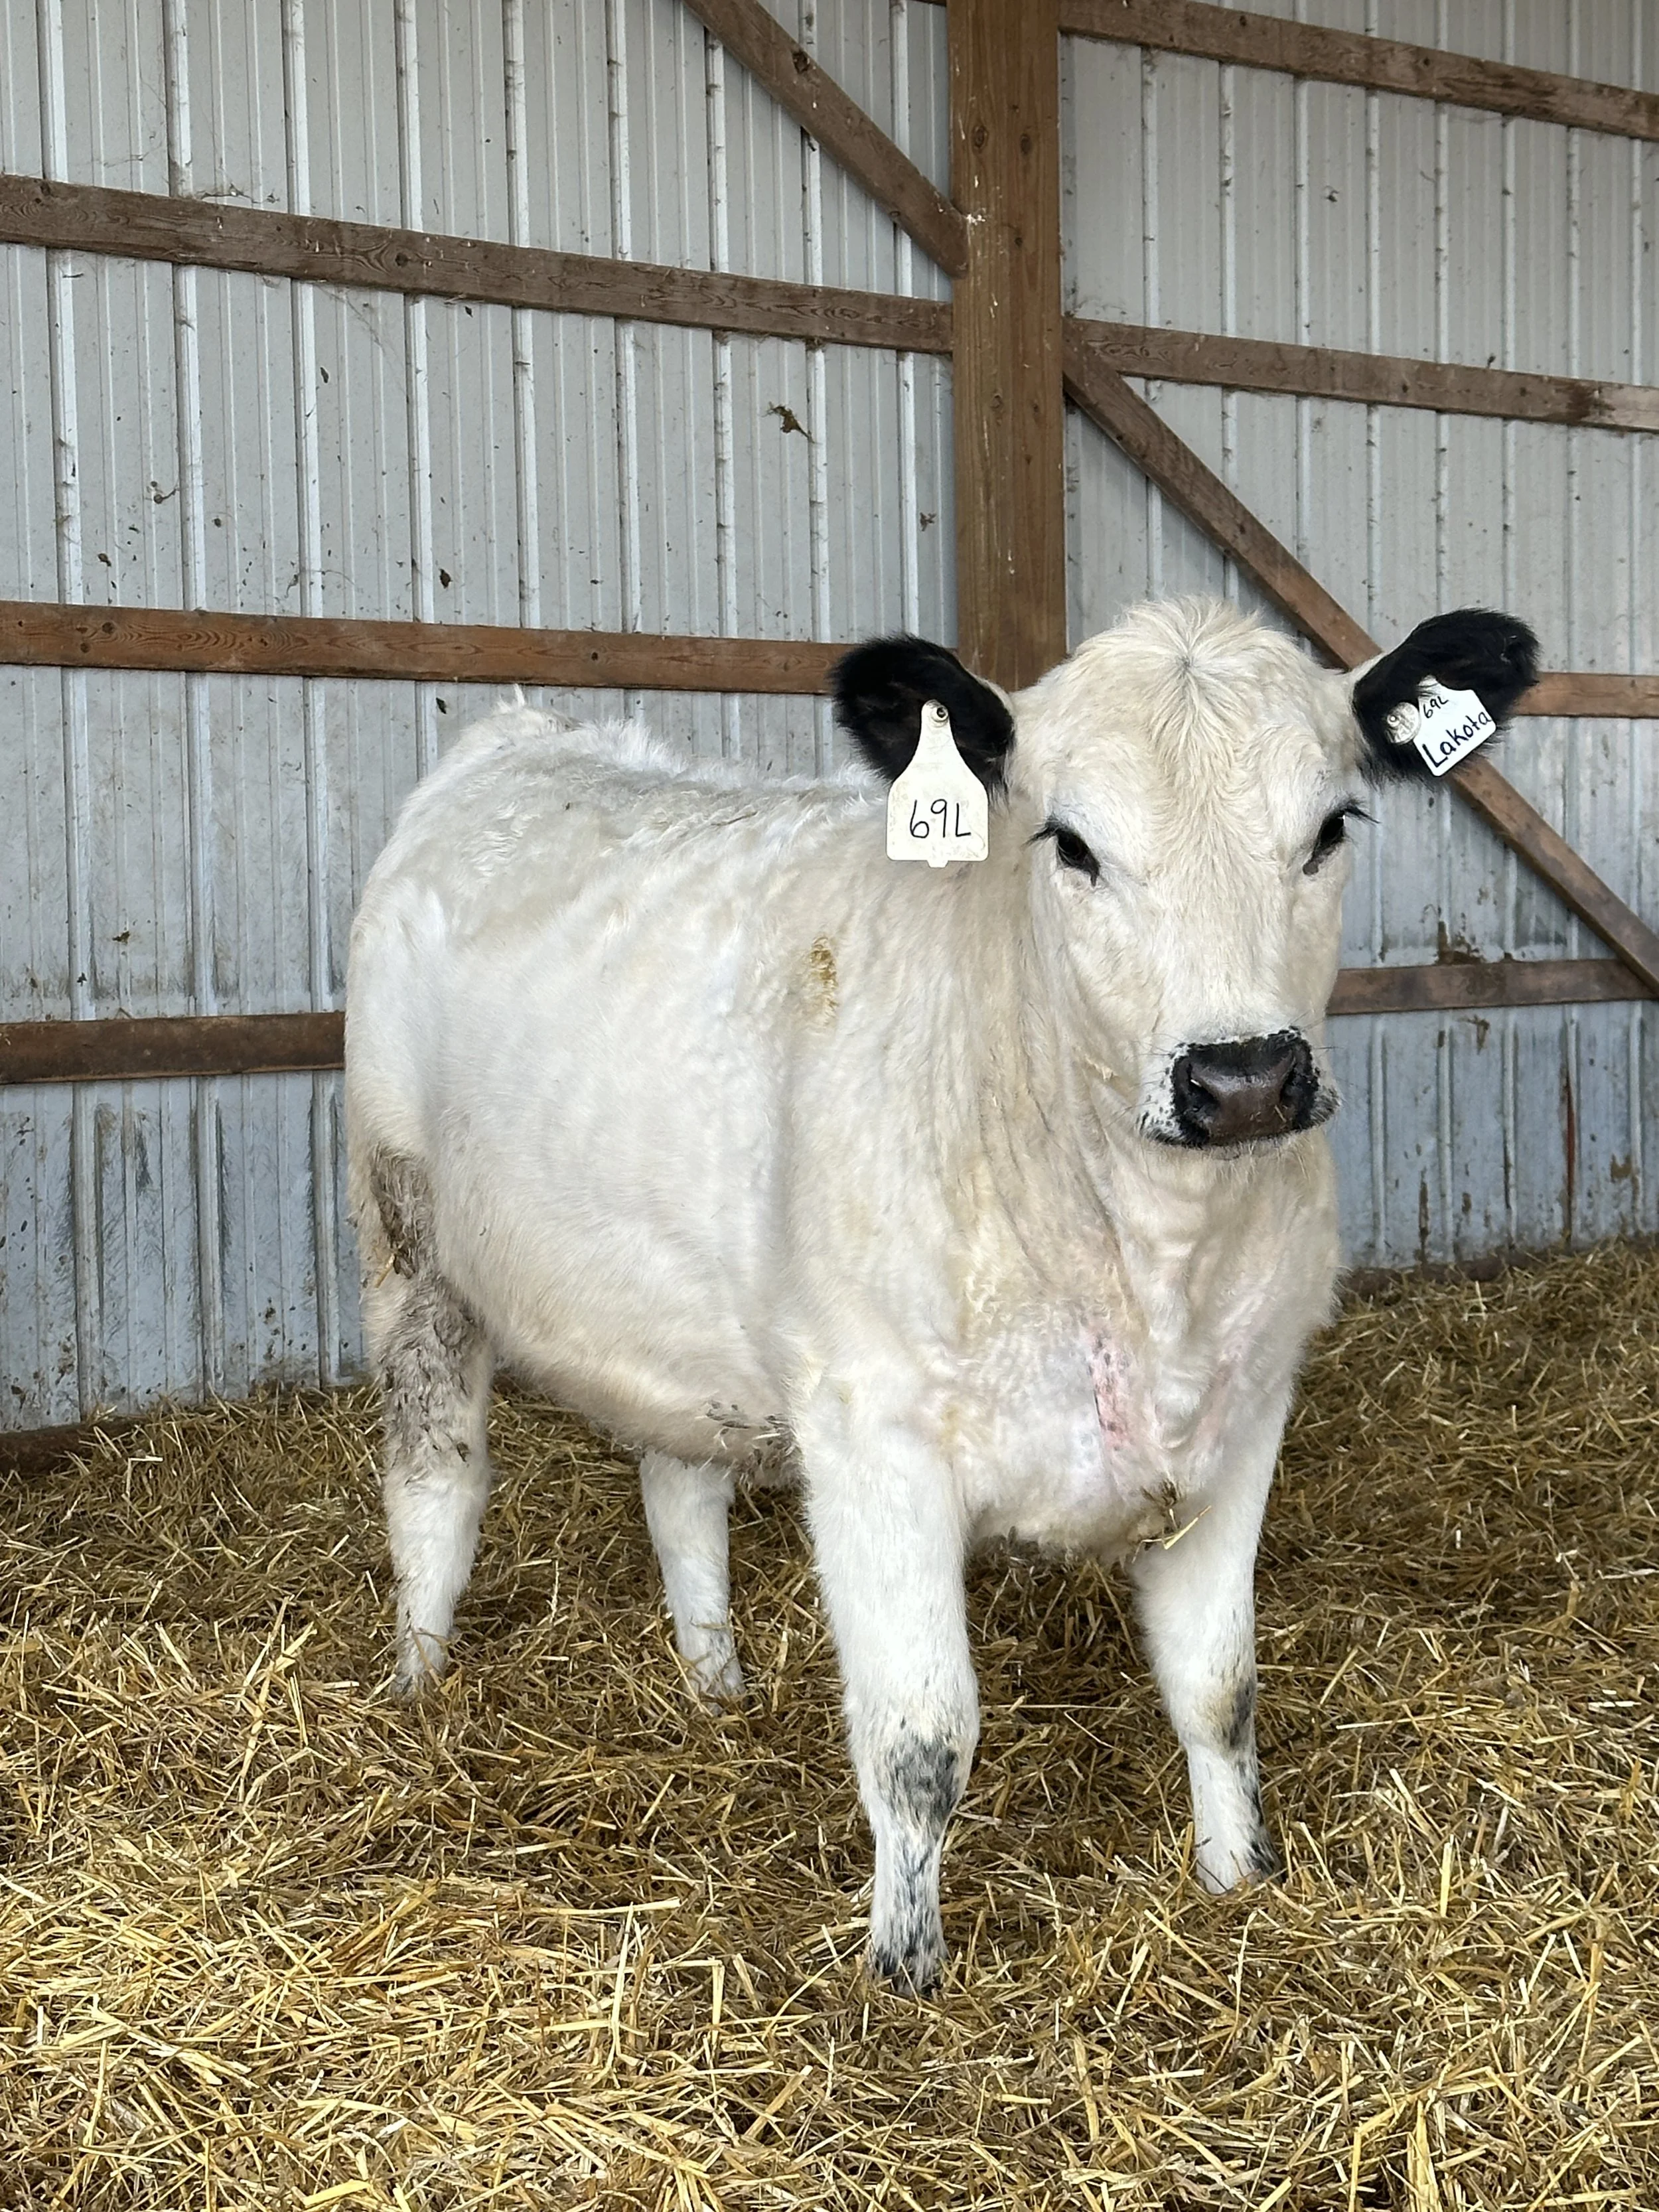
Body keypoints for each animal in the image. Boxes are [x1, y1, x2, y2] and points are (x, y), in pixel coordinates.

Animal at [344, 595, 1537, 1992]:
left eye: (1333, 827)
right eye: (1070, 842)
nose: (1243, 1076)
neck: (1155, 1274)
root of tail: (530, 736)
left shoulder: (1246, 1418)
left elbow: (1219, 1688)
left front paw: (1238, 1880)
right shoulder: (876, 1439)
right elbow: (920, 1741)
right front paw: (903, 1971)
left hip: (677, 1325)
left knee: (680, 1488)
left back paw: (715, 1686)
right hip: (406, 1239)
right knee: (436, 1481)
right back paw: (420, 1686)